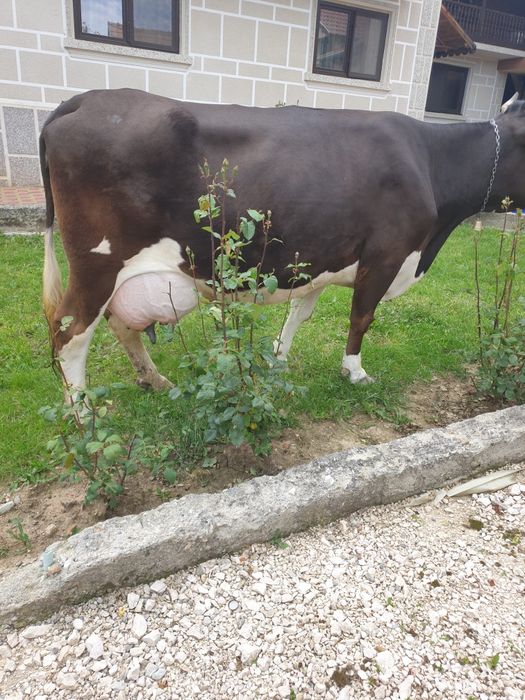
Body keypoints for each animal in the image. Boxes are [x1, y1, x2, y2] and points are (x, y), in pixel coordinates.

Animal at [40, 89, 525, 393]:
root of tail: (84, 99)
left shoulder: (321, 254)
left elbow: (300, 312)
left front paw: (277, 357)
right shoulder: (386, 254)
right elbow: (361, 317)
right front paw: (355, 372)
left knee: (119, 324)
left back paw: (153, 379)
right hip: (97, 263)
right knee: (69, 335)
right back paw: (83, 418)